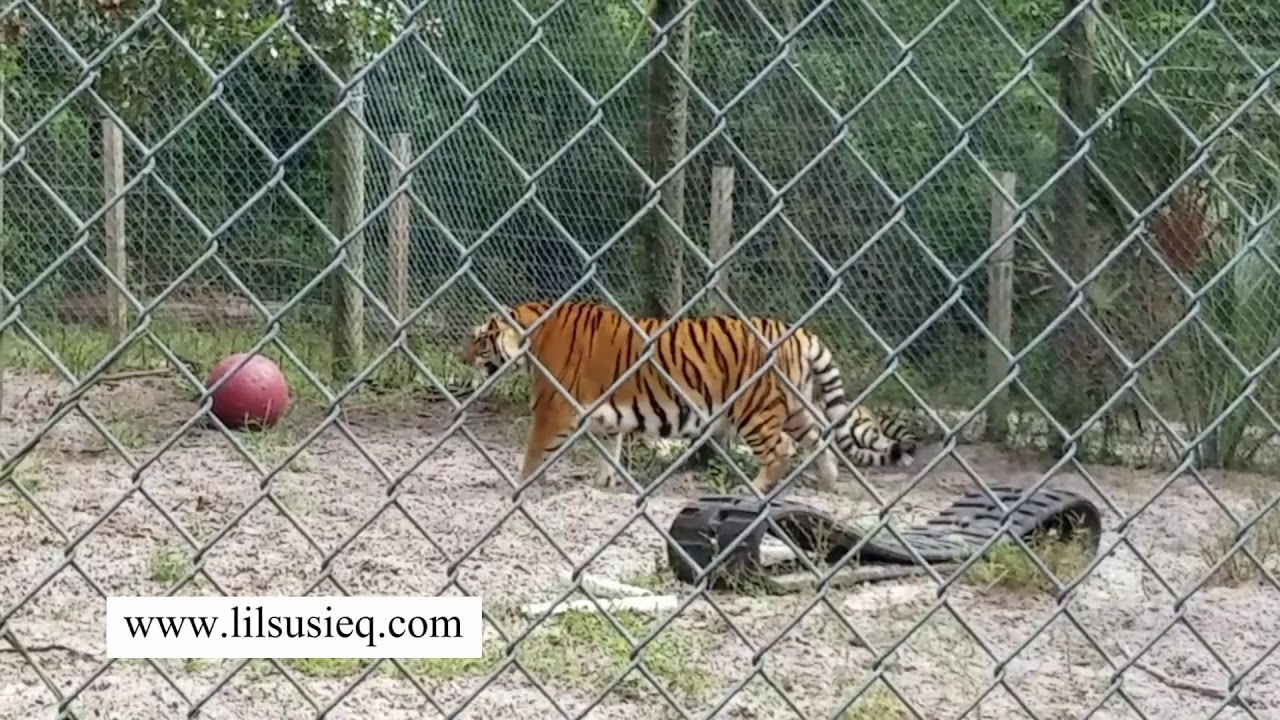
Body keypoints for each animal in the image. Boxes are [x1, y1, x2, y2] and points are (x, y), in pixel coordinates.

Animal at [461, 299, 918, 494]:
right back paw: (827, 483)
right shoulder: (601, 414)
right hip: (796, 407)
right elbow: (610, 445)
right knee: (820, 439)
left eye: (479, 340)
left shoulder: (552, 408)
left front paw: (519, 484)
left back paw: (754, 489)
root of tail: (801, 333)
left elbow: (534, 451)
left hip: (755, 409)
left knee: (780, 449)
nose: (461, 357)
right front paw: (605, 480)